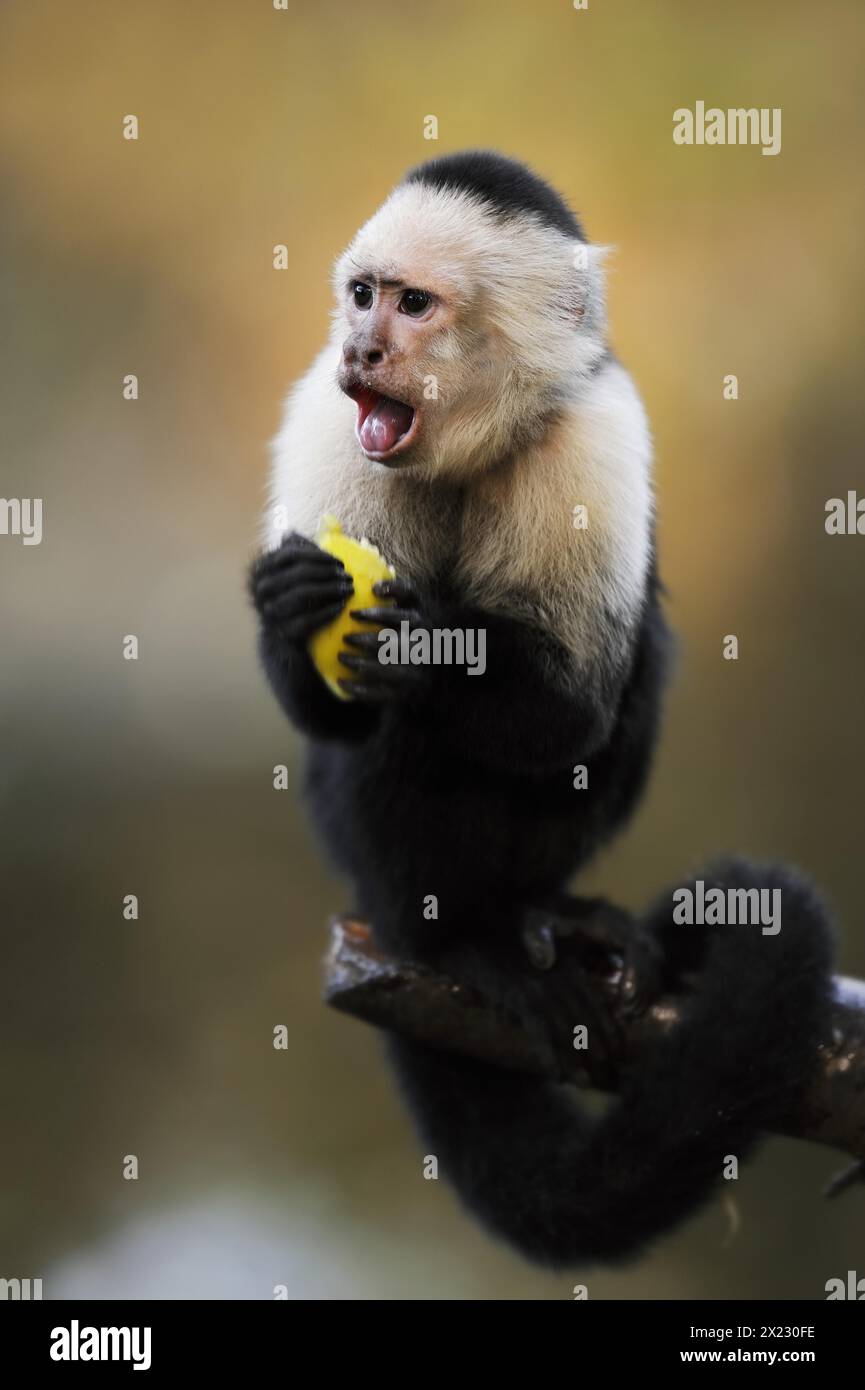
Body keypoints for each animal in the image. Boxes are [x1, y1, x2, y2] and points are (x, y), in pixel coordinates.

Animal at [250, 150, 834, 1266]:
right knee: (388, 756)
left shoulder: (597, 429)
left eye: (413, 304)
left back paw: (540, 911)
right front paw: (292, 613)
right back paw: (452, 937)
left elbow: (569, 711)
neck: (463, 447)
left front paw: (428, 649)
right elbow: (336, 718)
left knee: (627, 665)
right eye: (361, 295)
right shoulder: (326, 426)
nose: (361, 347)